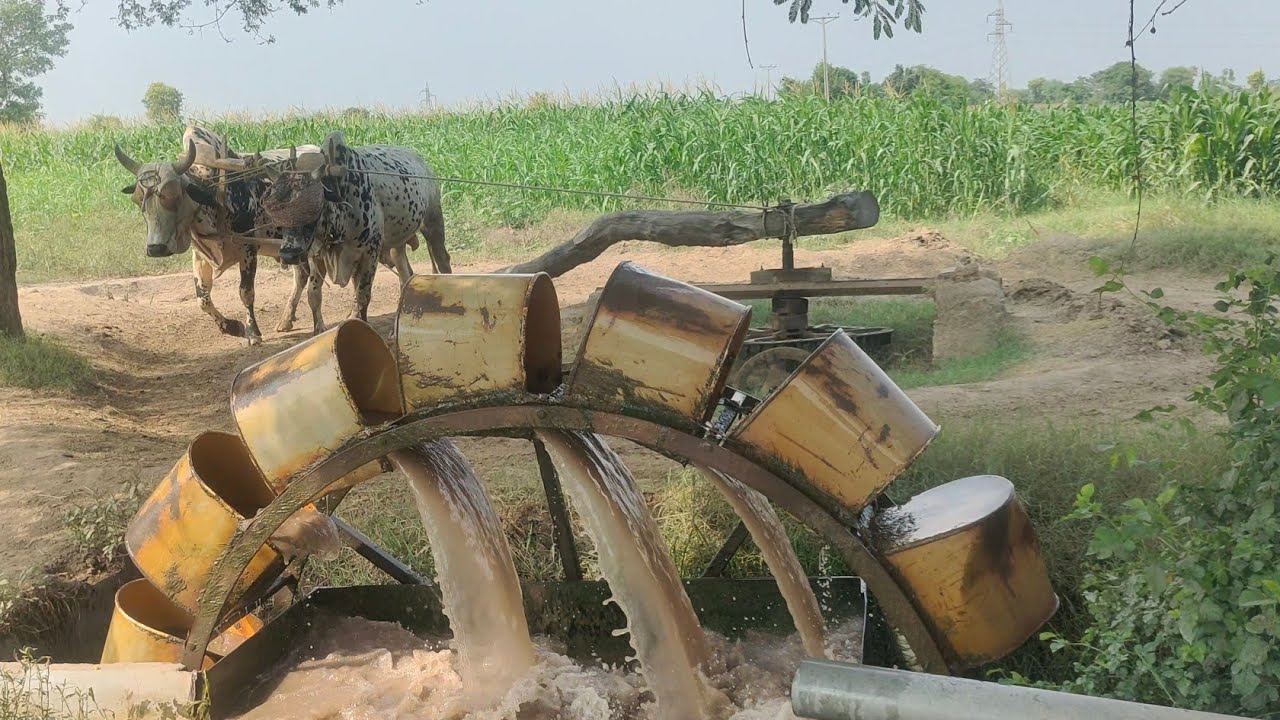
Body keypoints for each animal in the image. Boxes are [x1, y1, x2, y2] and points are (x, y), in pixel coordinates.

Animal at [113, 124, 321, 345]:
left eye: (174, 196)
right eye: (137, 200)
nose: (155, 248)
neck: (217, 194)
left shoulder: (248, 248)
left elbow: (246, 292)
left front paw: (252, 332)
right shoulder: (200, 255)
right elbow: (202, 298)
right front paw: (232, 327)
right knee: (302, 275)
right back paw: (286, 320)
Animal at [262, 131, 451, 335]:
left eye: (312, 205)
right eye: (274, 207)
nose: (288, 255)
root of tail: (422, 161)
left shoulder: (371, 251)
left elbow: (362, 294)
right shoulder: (316, 254)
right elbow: (314, 294)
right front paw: (319, 330)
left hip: (433, 224)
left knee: (443, 263)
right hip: (396, 245)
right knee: (405, 276)